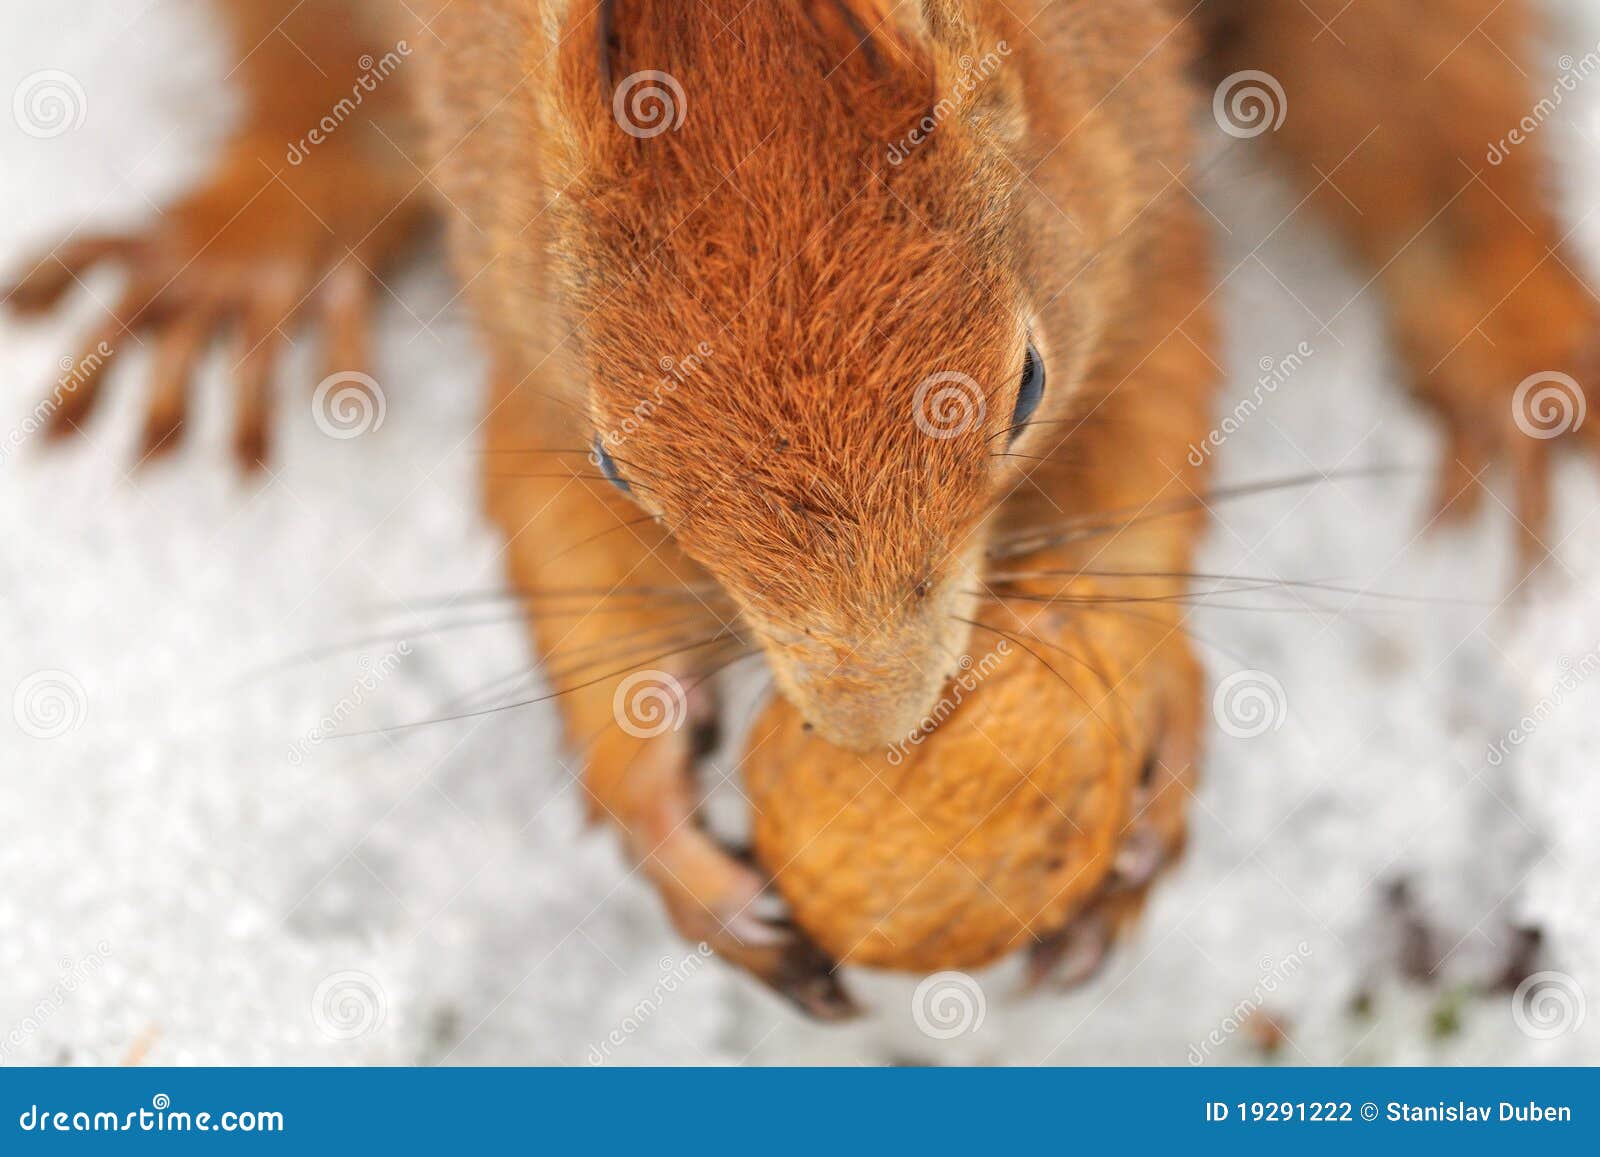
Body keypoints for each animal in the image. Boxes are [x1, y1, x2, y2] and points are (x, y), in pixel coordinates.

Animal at [5, 0, 1597, 1018]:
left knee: (1426, 127)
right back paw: (250, 240)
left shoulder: (1126, 206)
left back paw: (1514, 346)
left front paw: (1145, 714)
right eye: (619, 459)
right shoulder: (520, 311)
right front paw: (664, 823)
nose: (871, 721)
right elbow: (548, 528)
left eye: (1024, 385)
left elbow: (1154, 419)